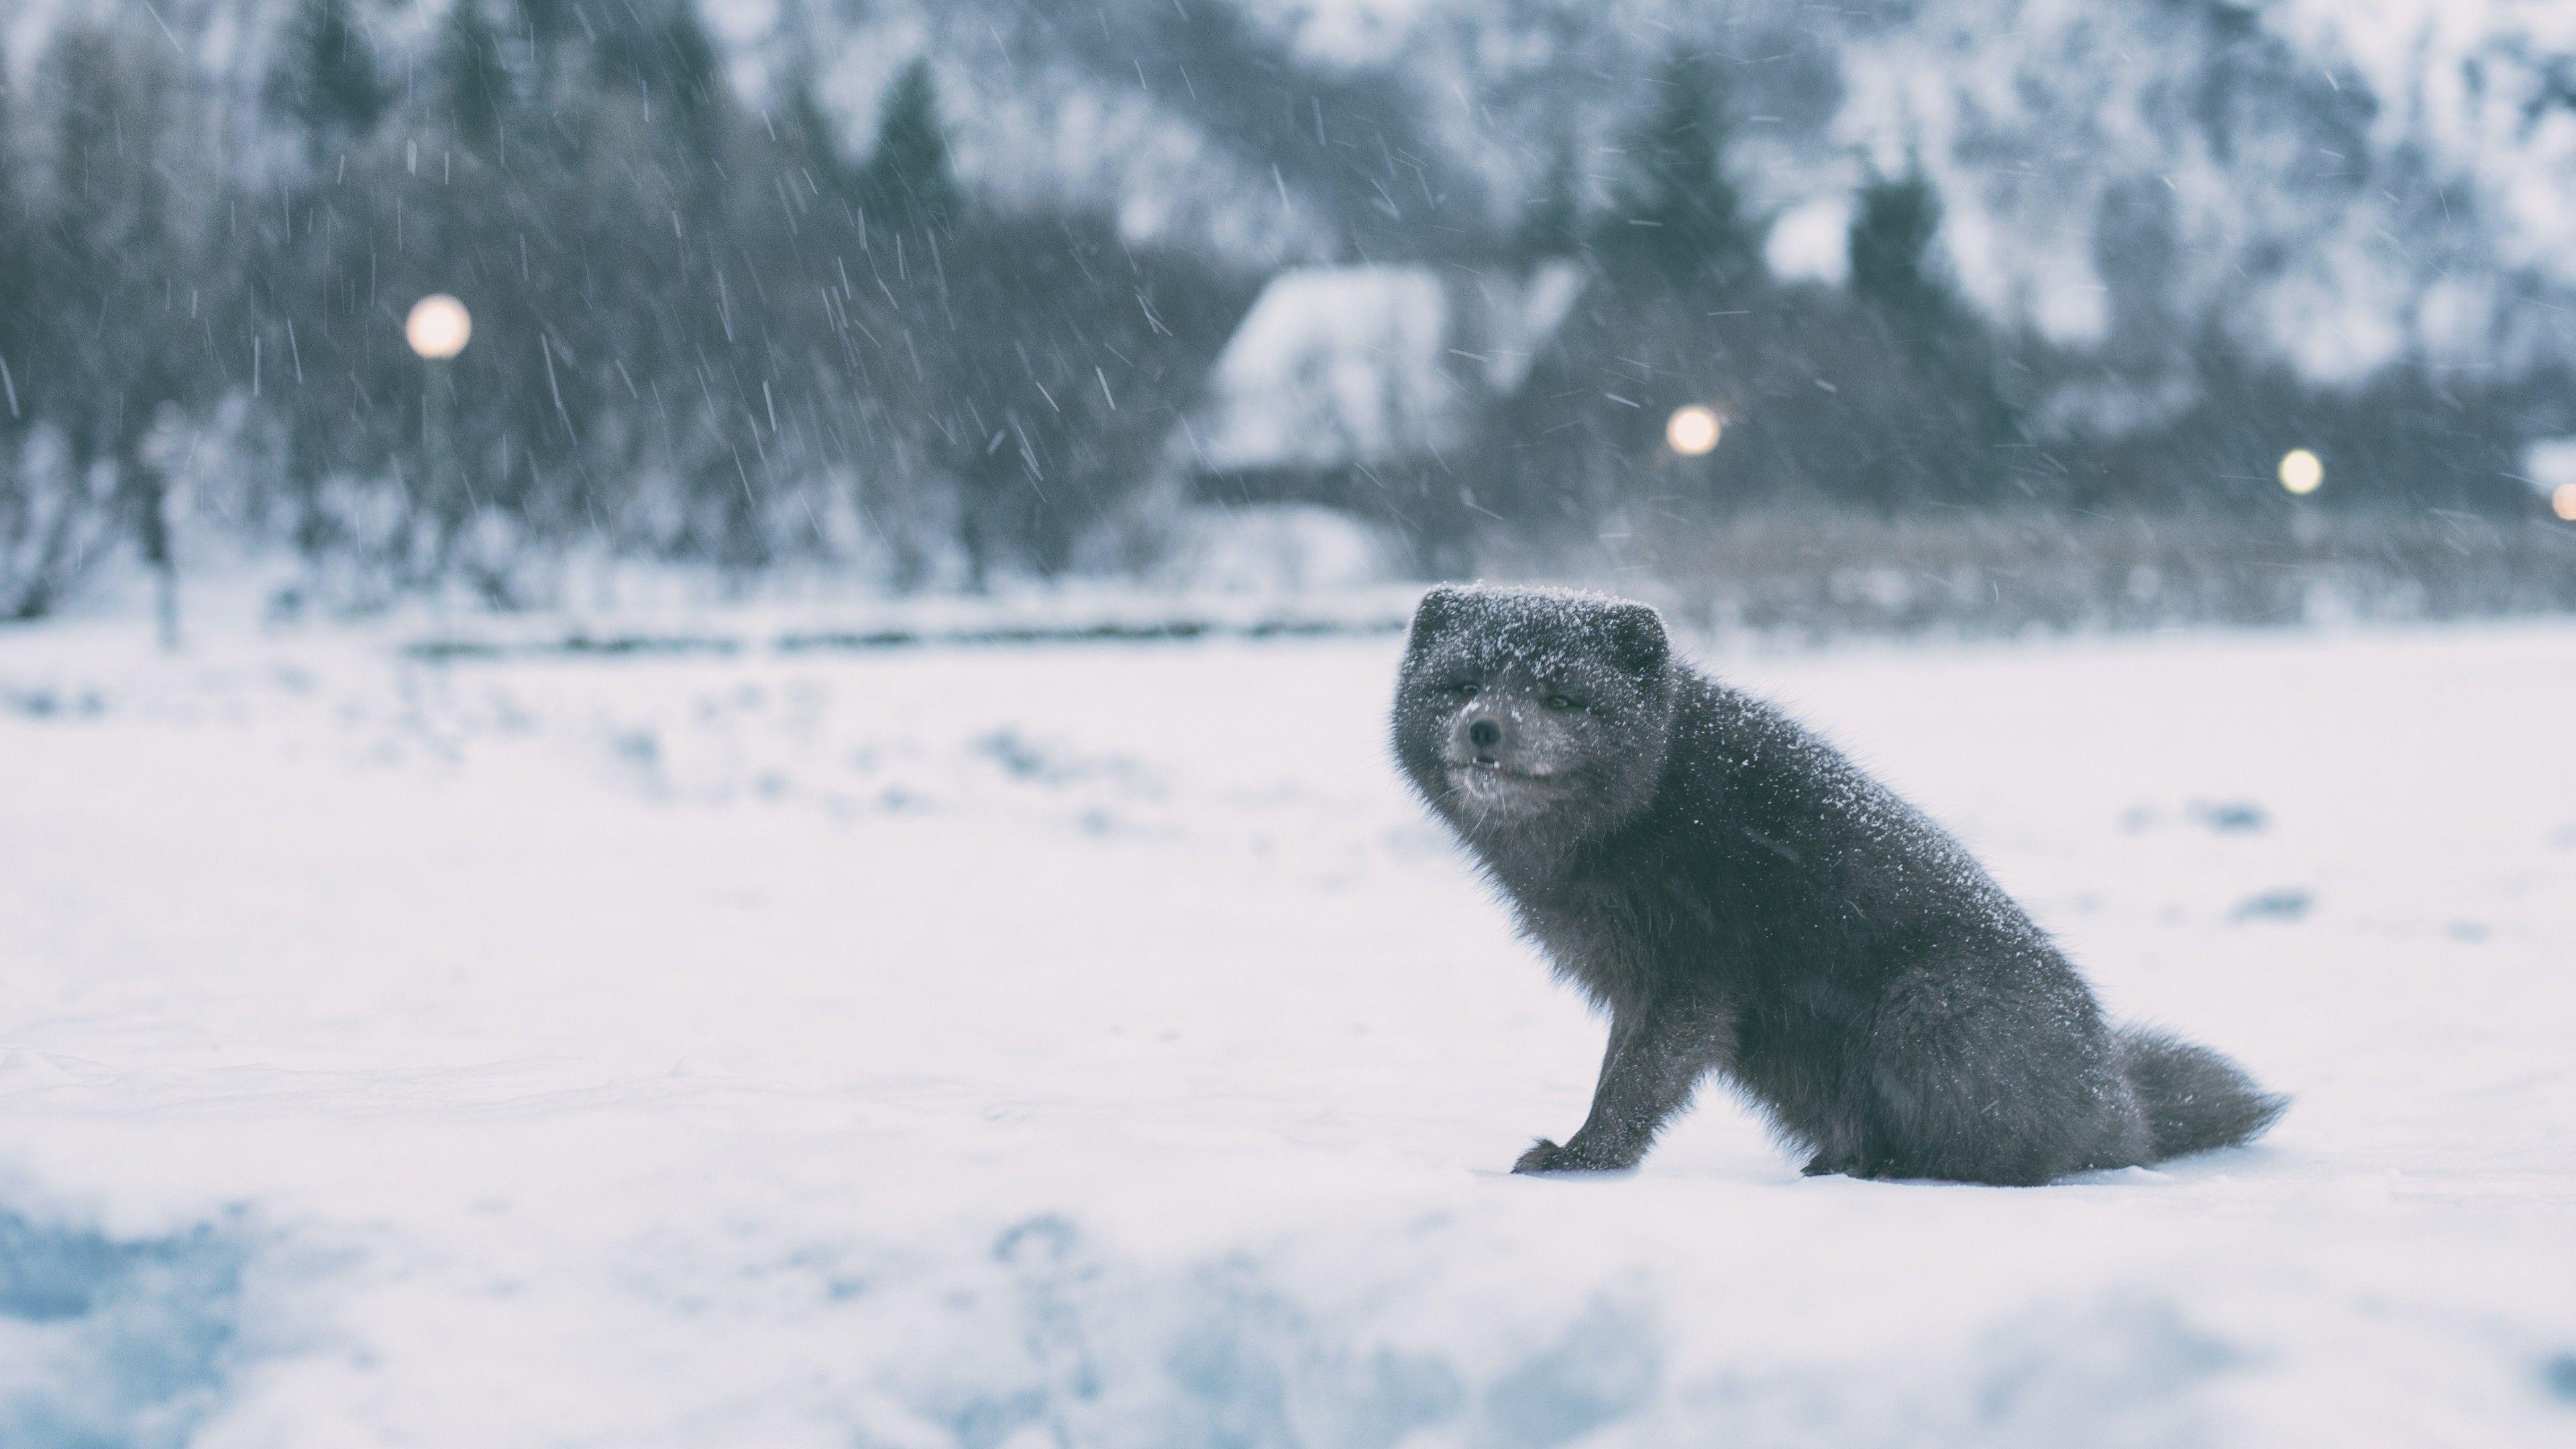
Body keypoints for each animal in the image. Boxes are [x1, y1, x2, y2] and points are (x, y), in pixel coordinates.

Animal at [1390, 583, 2284, 1184]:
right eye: (1460, 683)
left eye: (1563, 696)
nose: (1484, 729)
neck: (1653, 801)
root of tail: (2123, 1105)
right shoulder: (1641, 983)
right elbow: (1622, 1070)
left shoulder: (1689, 976)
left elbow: (1635, 1084)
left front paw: (1584, 1160)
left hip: (1926, 1008)